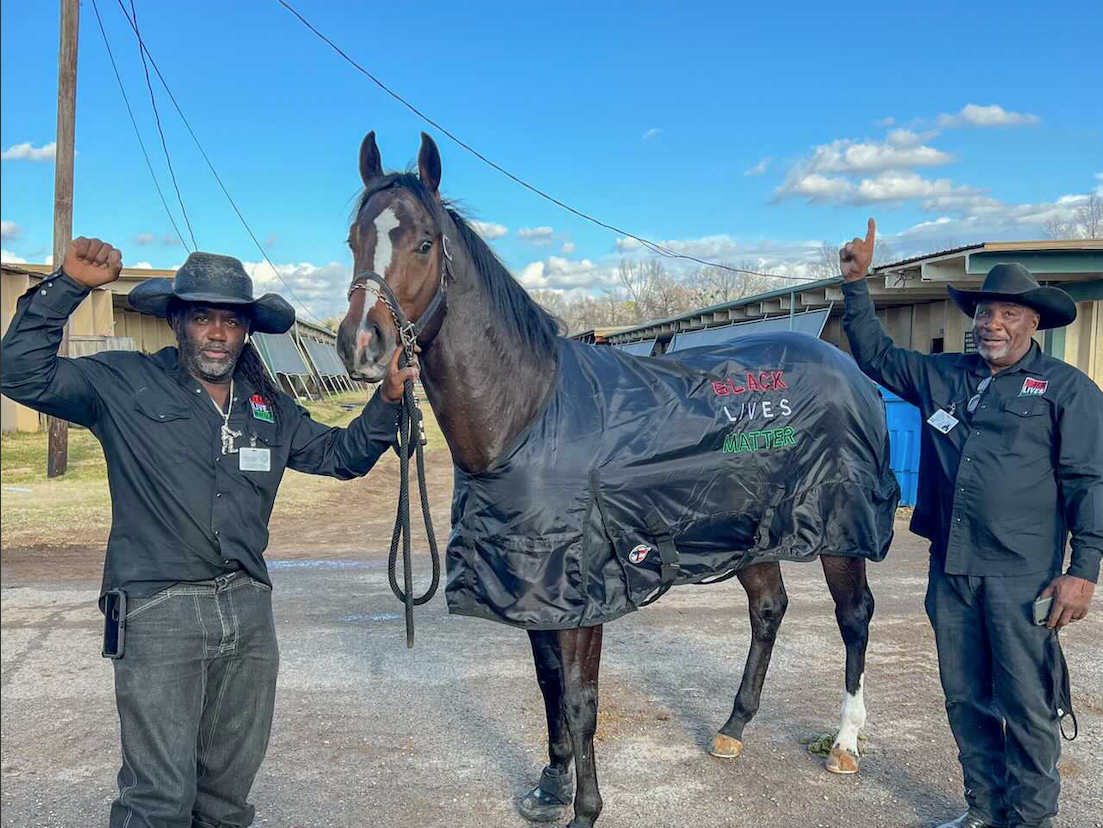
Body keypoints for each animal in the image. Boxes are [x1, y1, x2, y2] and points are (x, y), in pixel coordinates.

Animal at [337, 130, 899, 828]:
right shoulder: (536, 587)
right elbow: (549, 686)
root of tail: (848, 367)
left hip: (839, 526)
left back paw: (846, 742)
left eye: (423, 243)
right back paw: (732, 729)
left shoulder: (584, 593)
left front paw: (584, 809)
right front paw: (550, 786)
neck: (527, 413)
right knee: (768, 609)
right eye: (354, 240)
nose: (362, 345)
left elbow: (581, 700)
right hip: (749, 531)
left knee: (854, 616)